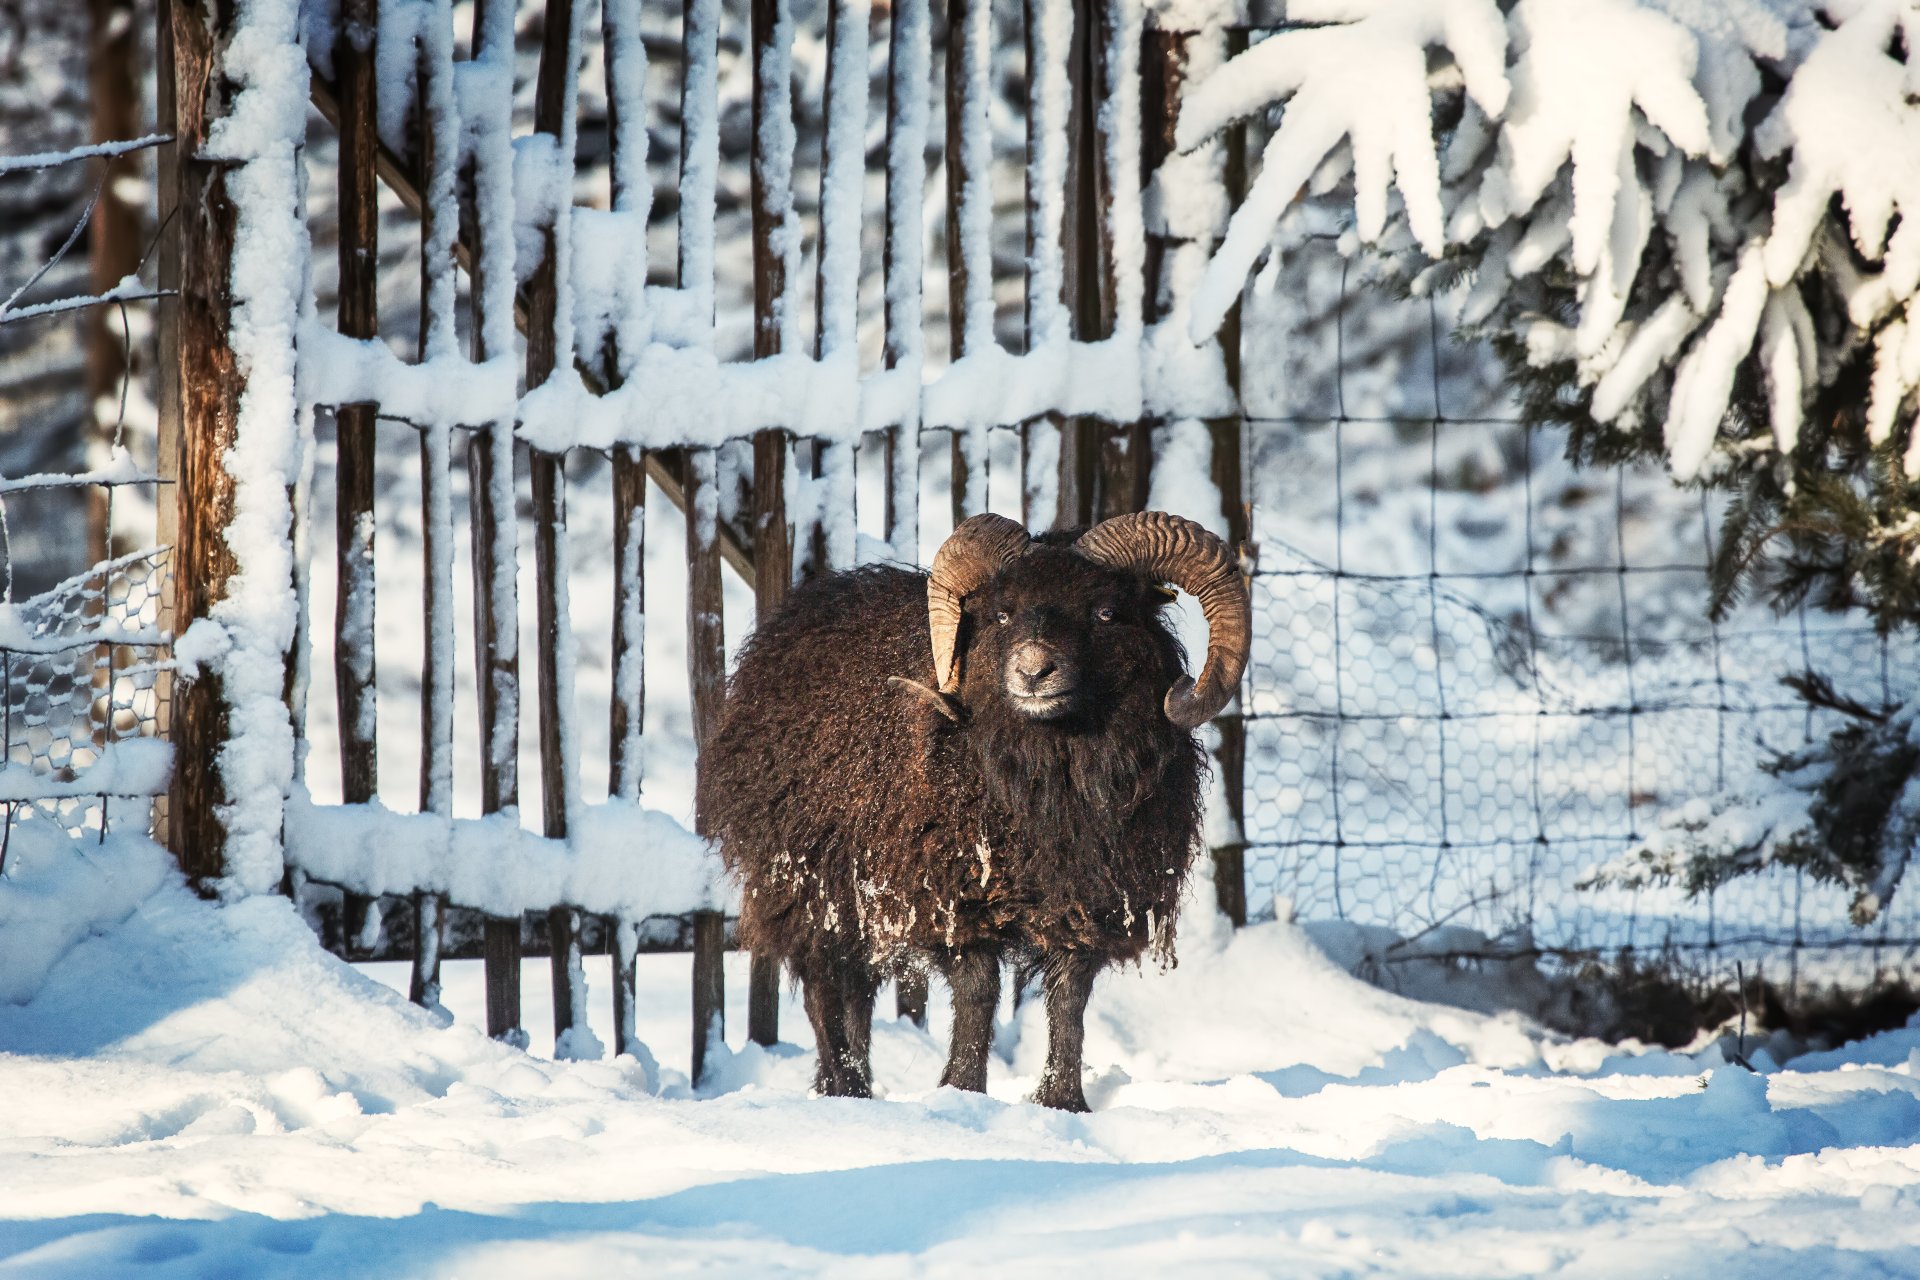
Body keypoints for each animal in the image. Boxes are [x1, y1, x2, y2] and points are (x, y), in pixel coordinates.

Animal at [697, 510, 1251, 1111]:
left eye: (1106, 612)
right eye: (1002, 613)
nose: (1033, 671)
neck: (1048, 786)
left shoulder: (1091, 898)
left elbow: (1069, 998)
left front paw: (1062, 1101)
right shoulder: (953, 896)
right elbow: (978, 992)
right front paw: (962, 1090)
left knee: (857, 993)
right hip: (807, 880)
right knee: (826, 989)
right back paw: (848, 1091)